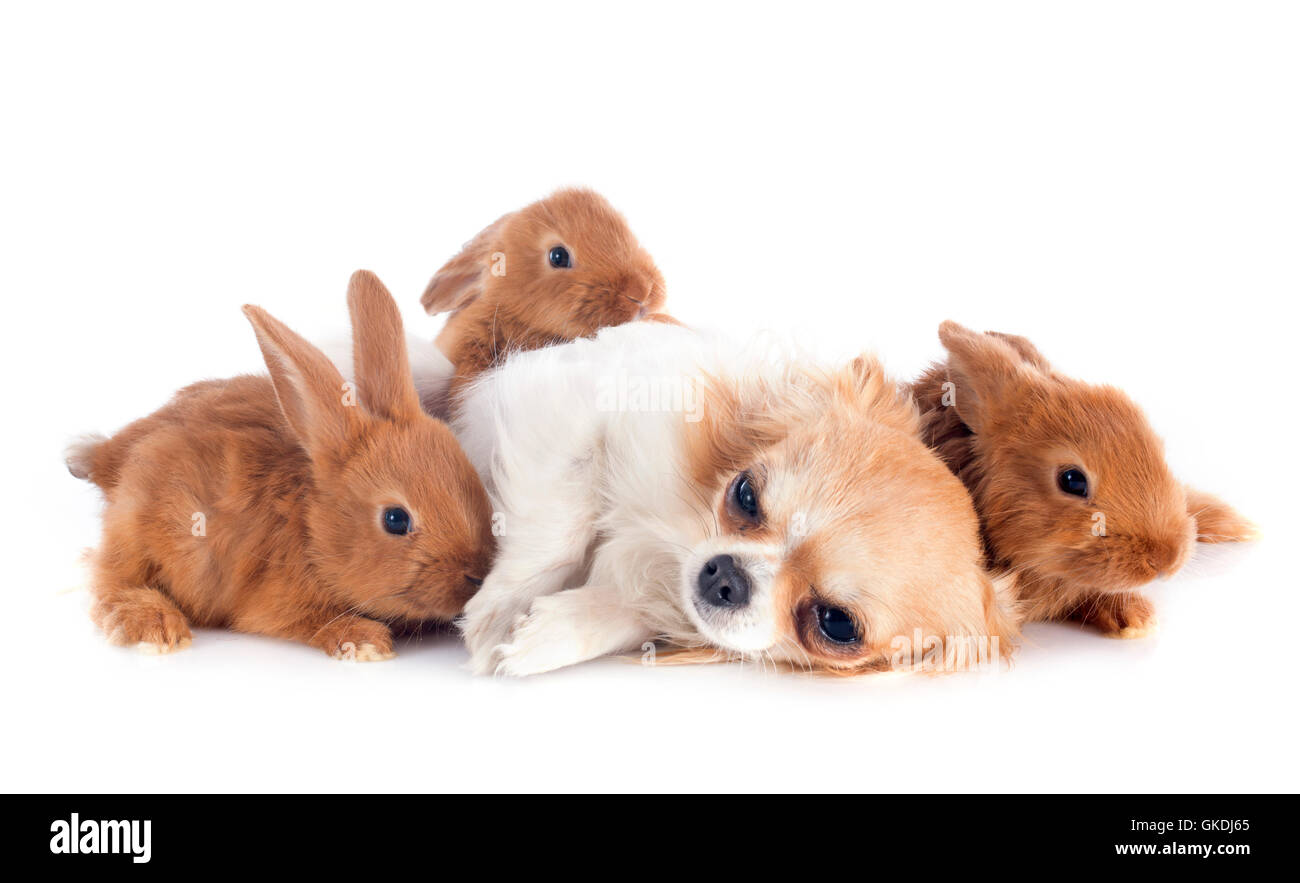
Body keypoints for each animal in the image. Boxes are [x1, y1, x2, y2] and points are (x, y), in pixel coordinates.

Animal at [66, 270, 495, 659]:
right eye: (395, 519)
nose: (478, 574)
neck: (310, 525)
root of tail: (106, 459)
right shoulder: (274, 602)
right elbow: (304, 620)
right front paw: (364, 641)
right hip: (133, 530)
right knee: (108, 582)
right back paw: (154, 627)